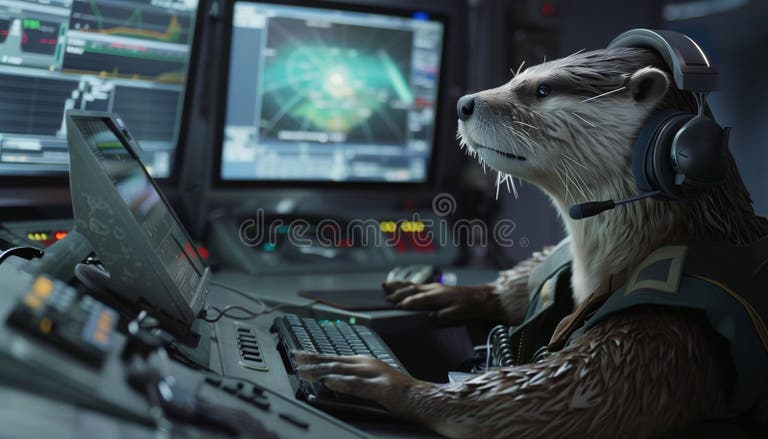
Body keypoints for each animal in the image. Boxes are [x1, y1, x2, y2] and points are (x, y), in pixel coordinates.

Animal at [294, 43, 768, 438]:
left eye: (542, 88)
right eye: (517, 76)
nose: (464, 102)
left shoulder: (661, 333)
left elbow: (569, 399)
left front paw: (386, 380)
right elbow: (529, 275)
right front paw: (444, 293)